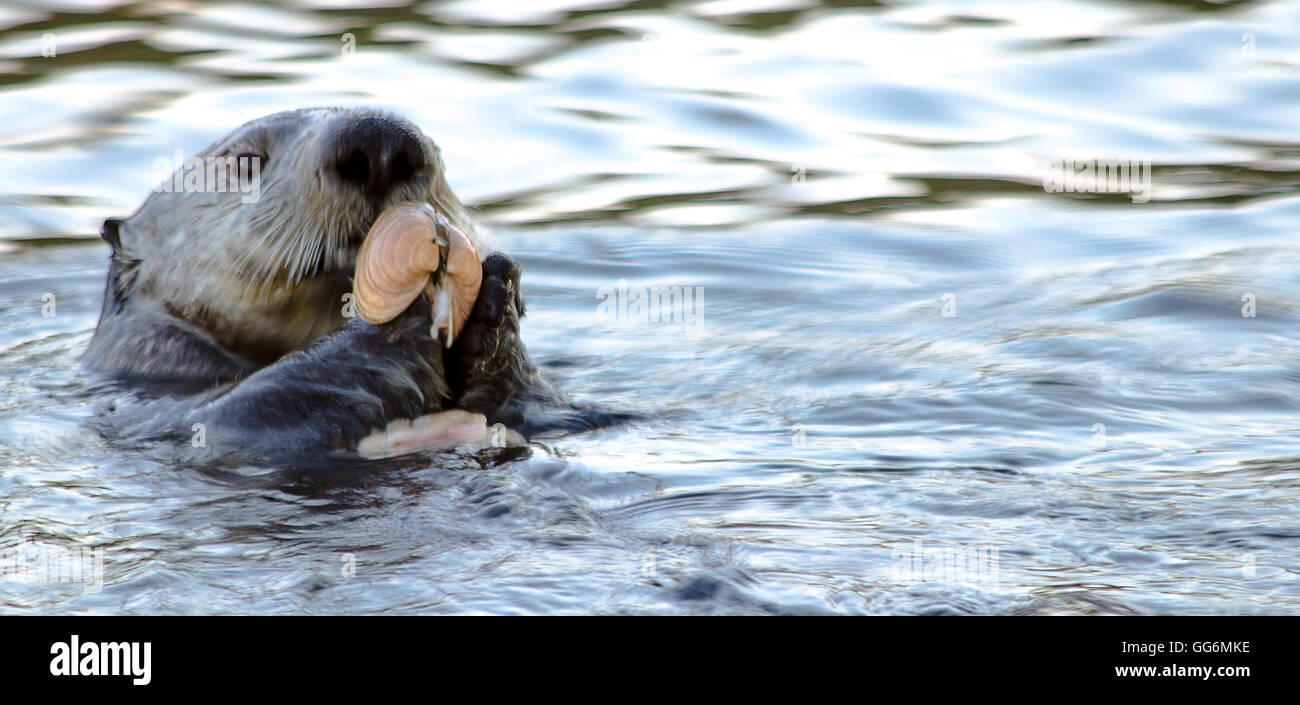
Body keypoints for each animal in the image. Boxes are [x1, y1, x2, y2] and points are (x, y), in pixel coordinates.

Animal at [84, 107, 610, 465]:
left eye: (439, 151)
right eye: (247, 160)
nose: (379, 142)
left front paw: (496, 294)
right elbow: (238, 412)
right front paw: (405, 312)